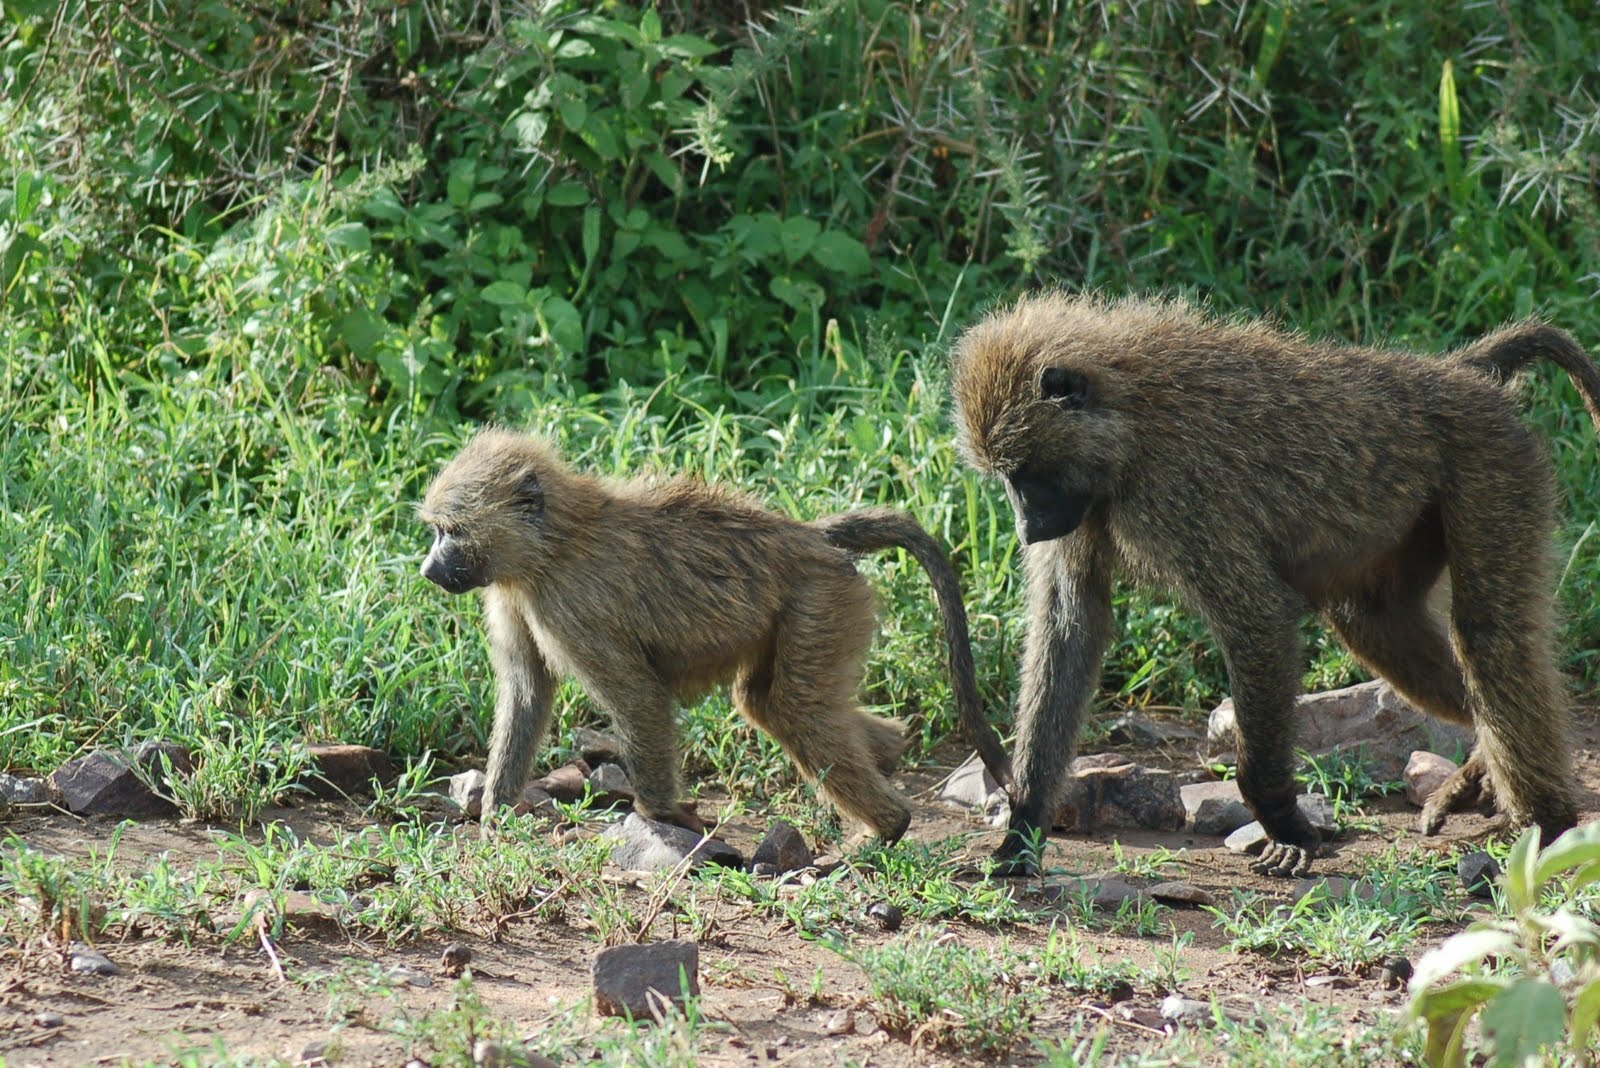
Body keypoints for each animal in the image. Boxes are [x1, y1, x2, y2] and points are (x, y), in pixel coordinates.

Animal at [418, 428, 1013, 843]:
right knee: (772, 704)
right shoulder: (511, 592)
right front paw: (496, 811)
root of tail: (810, 537)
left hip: (819, 602)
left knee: (792, 709)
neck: (553, 543)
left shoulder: (571, 607)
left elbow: (637, 697)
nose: (427, 570)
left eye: (452, 532)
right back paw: (889, 758)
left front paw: (660, 814)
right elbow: (528, 691)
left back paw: (887, 826)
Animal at [949, 292, 1595, 877]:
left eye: (1025, 473)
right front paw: (1021, 831)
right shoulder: (1087, 506)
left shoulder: (1174, 492)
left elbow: (1255, 616)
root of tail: (1458, 376)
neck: (1128, 415)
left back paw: (1546, 827)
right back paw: (1482, 774)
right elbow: (1071, 627)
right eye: (1008, 478)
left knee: (1489, 635)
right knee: (1376, 622)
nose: (1027, 528)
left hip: (1493, 465)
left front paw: (1286, 826)